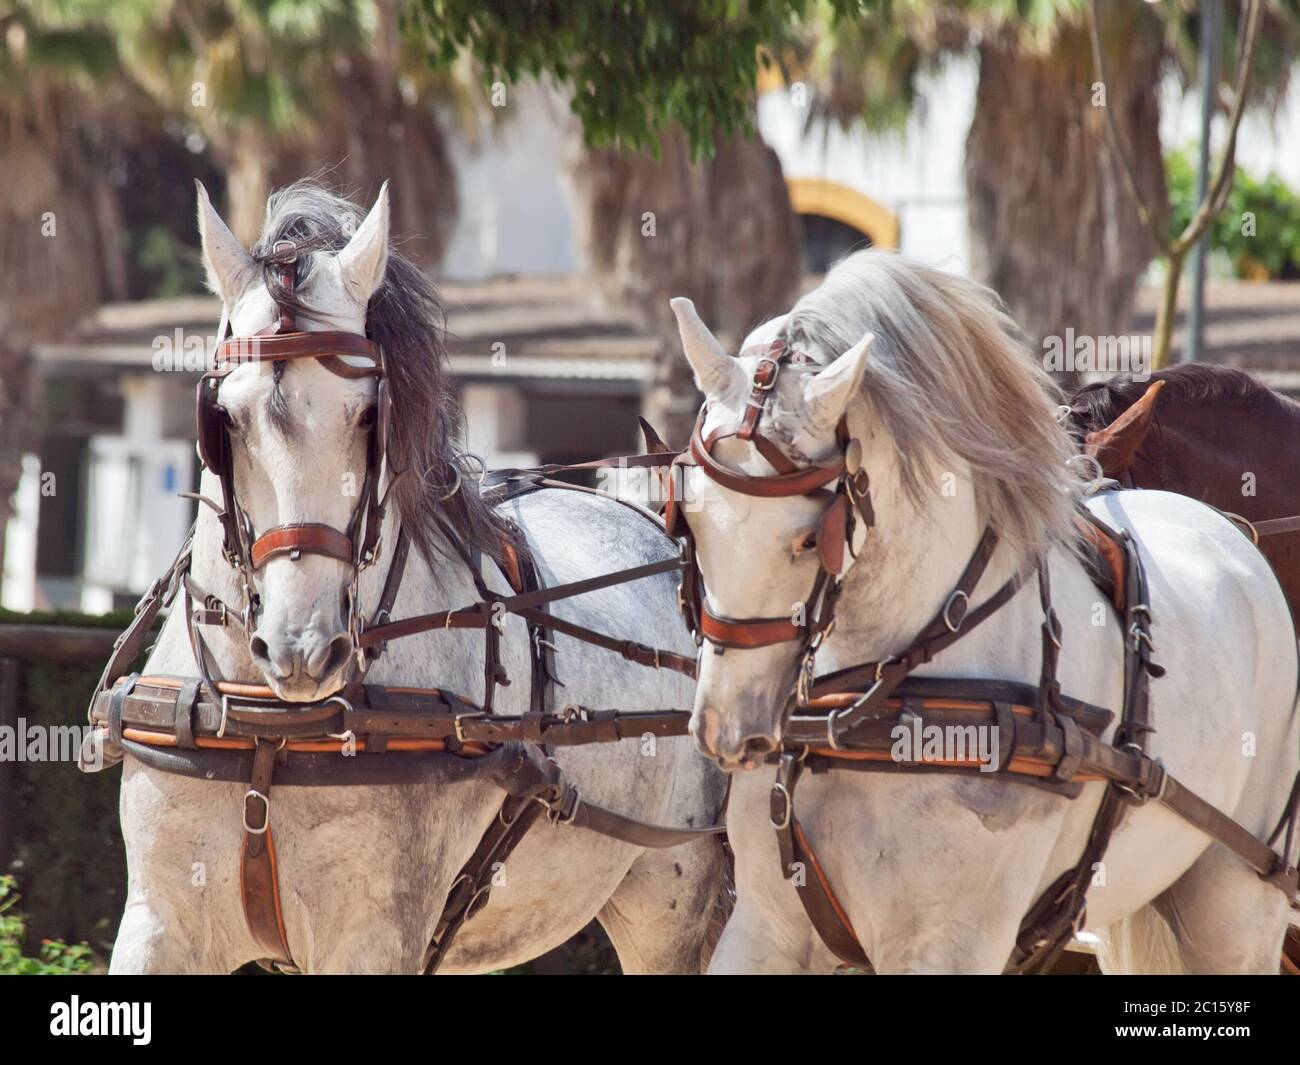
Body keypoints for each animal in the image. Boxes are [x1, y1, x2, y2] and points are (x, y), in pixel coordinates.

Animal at [103, 180, 729, 974]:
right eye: (228, 419)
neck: (272, 728)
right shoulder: (160, 923)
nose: (302, 649)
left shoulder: (374, 936)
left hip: (671, 894)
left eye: (369, 416)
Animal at [667, 249, 1300, 974]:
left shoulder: (953, 943)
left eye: (807, 539)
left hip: (1233, 902)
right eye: (689, 518)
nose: (725, 728)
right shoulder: (765, 925)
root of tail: (1231, 534)